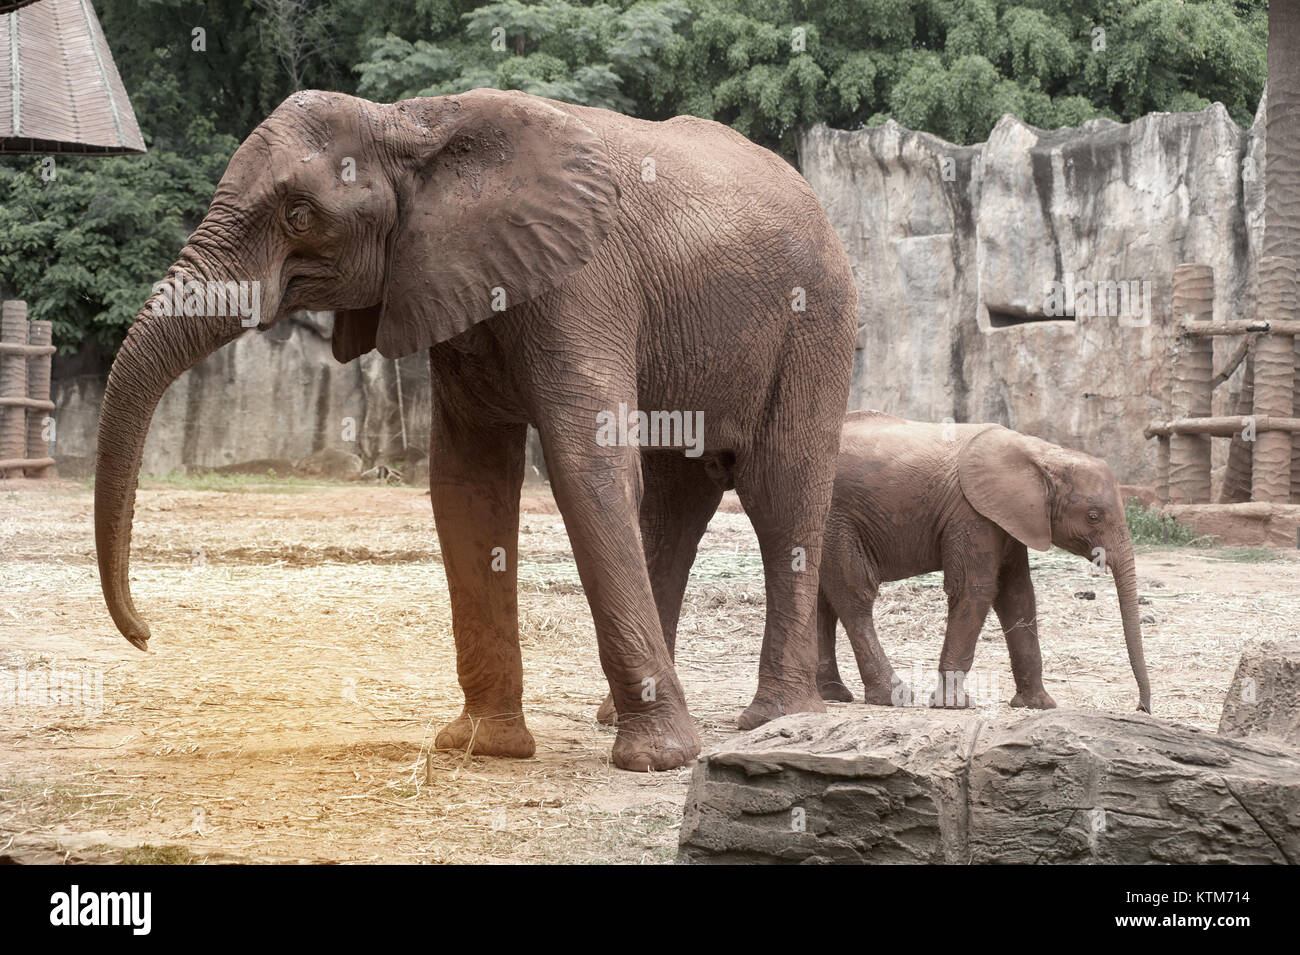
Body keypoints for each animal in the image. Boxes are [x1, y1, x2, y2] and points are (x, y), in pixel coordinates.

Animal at [93, 88, 858, 772]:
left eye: (300, 214)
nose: (146, 635)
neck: (412, 123)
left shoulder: (581, 284)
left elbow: (587, 467)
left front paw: (657, 760)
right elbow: (466, 483)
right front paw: (483, 746)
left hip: (816, 317)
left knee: (779, 490)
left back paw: (775, 719)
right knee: (677, 502)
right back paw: (617, 712)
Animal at [814, 411, 1151, 714]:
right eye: (1093, 516)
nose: (1141, 708)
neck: (1041, 453)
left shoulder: (1010, 518)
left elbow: (1017, 594)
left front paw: (1039, 705)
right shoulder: (972, 513)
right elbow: (976, 589)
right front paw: (954, 705)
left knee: (822, 600)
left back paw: (833, 694)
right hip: (837, 517)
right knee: (854, 595)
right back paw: (891, 696)